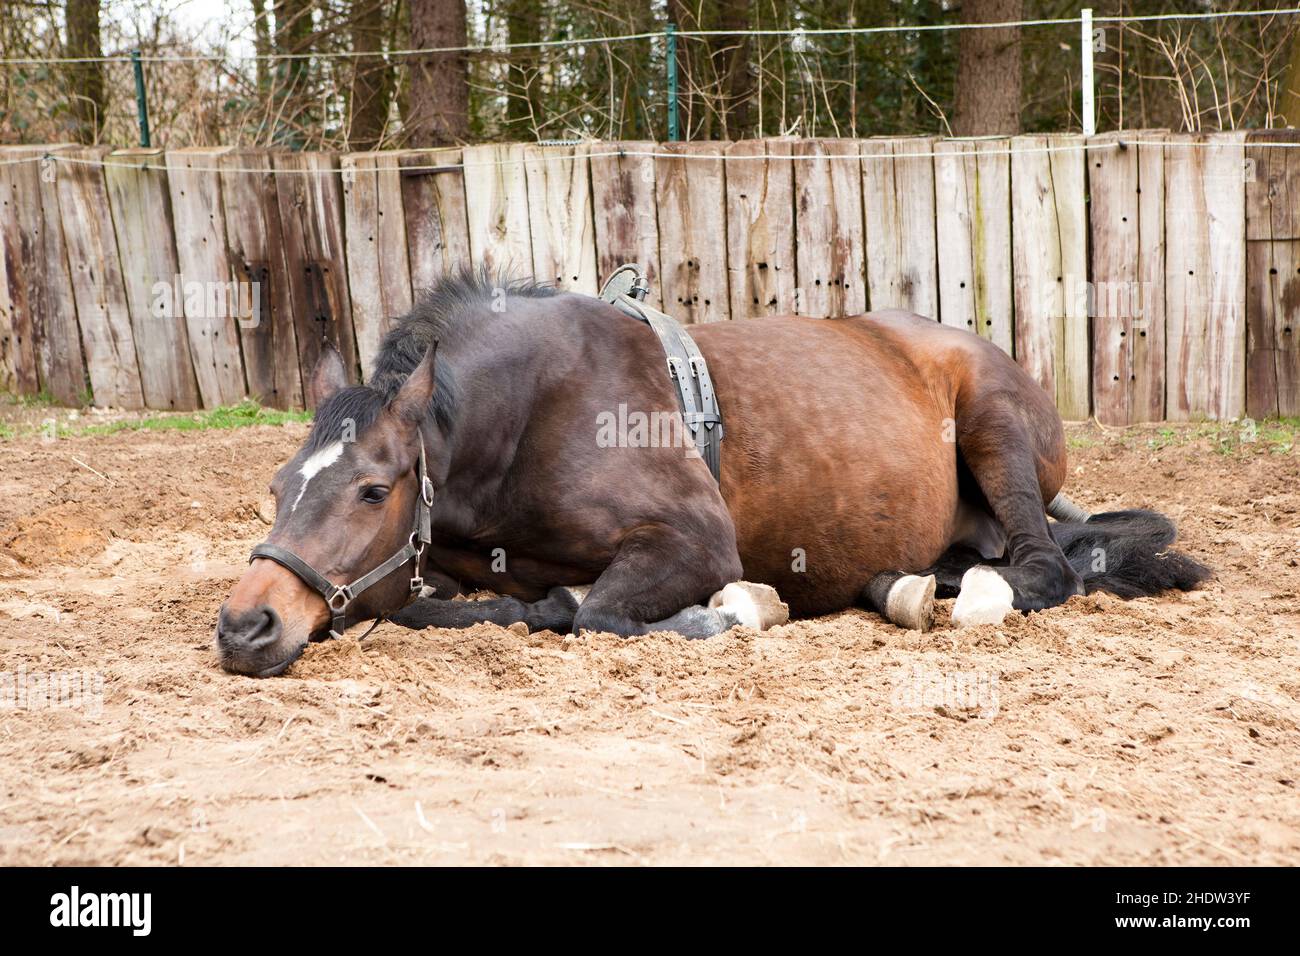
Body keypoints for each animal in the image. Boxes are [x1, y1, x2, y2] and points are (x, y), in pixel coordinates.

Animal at [216, 269, 1209, 677]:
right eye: (277, 487)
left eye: (372, 489)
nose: (244, 625)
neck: (530, 414)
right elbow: (444, 605)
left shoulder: (695, 539)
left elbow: (600, 614)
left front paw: (733, 611)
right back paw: (900, 584)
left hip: (994, 425)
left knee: (1041, 569)